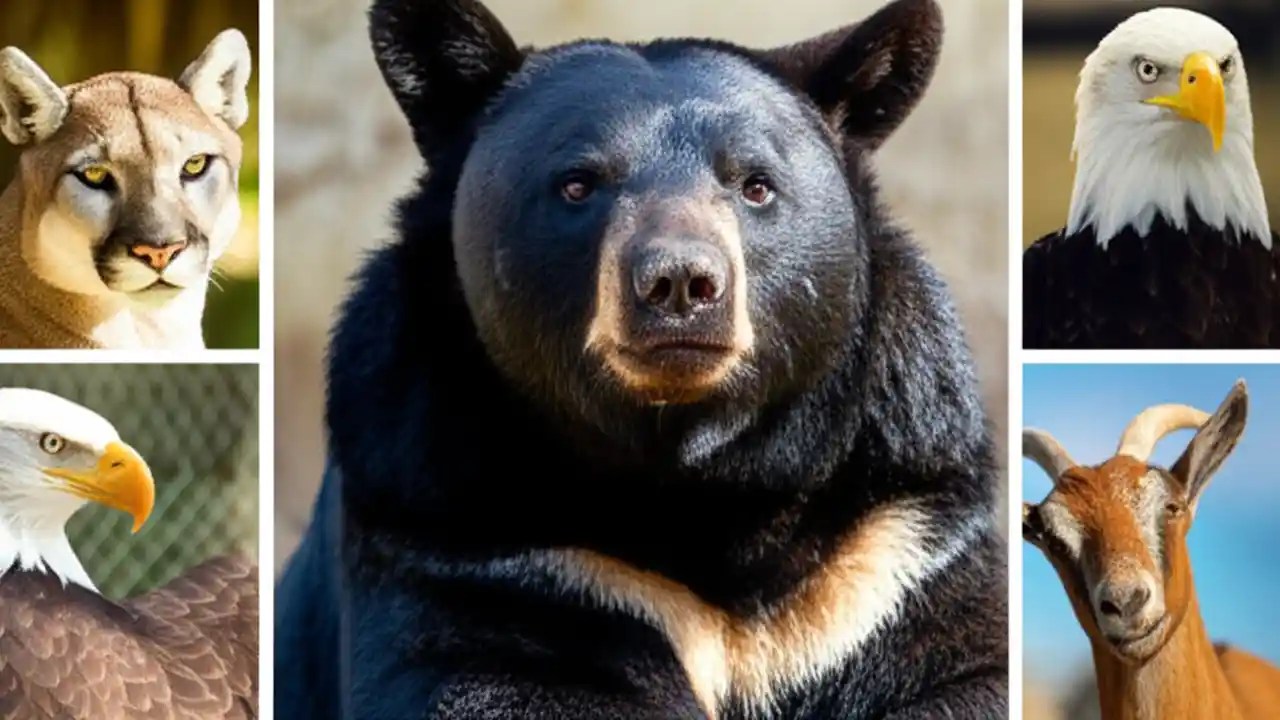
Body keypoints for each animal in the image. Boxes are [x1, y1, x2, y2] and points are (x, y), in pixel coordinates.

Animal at [274, 0, 1009, 718]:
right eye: (577, 185)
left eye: (755, 186)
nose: (680, 283)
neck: (694, 482)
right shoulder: (466, 539)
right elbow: (488, 673)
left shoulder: (889, 548)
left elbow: (962, 666)